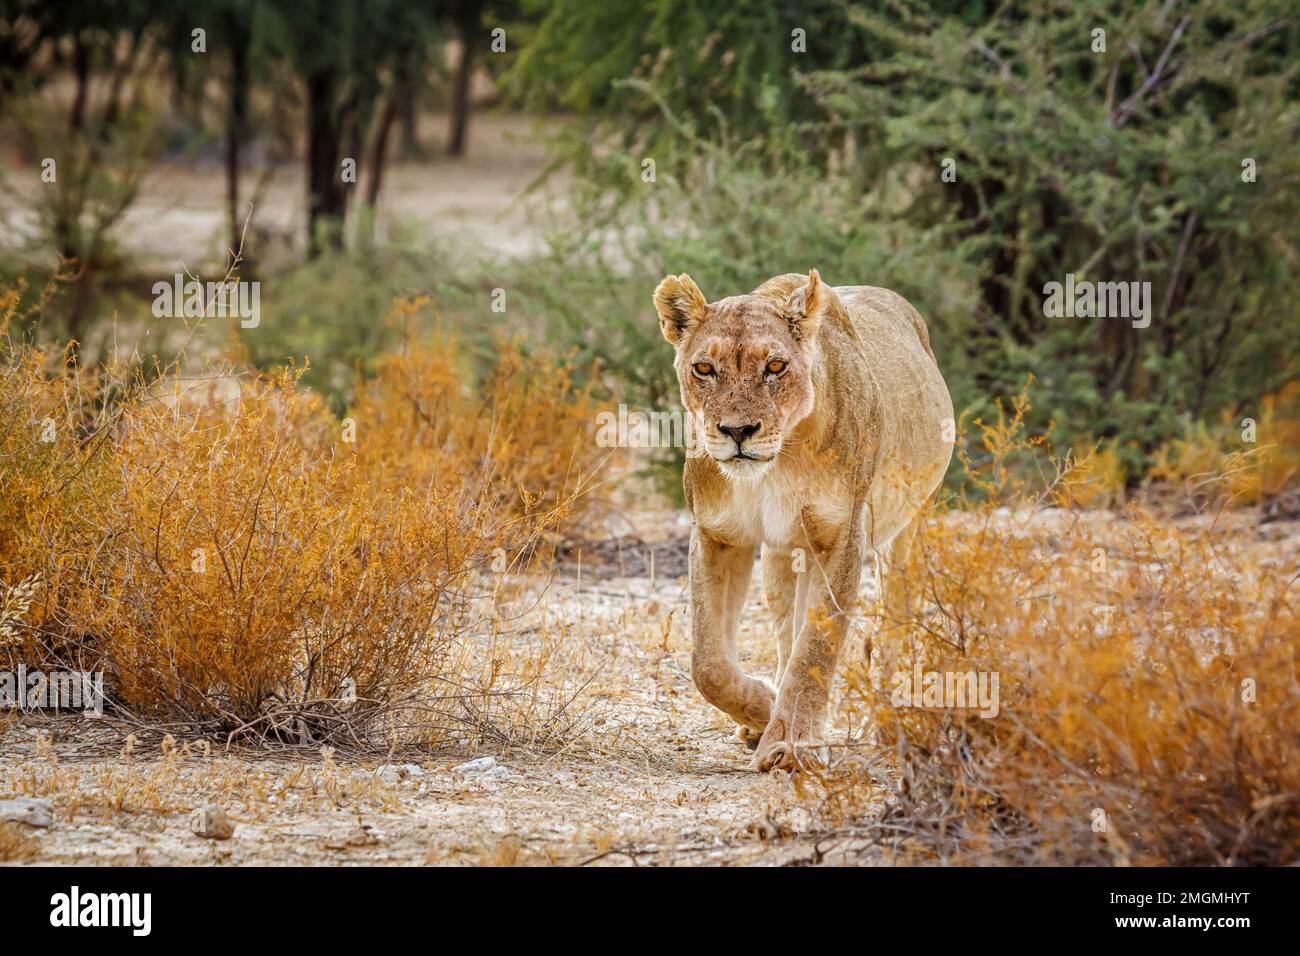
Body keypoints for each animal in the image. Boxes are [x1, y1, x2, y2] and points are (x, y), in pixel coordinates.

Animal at [653, 269, 954, 772]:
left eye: (775, 367)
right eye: (704, 369)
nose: (737, 431)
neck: (775, 465)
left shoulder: (841, 536)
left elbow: (816, 645)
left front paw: (791, 744)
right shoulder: (718, 534)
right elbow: (709, 664)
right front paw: (763, 708)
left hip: (906, 529)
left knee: (892, 623)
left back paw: (886, 724)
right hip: (783, 552)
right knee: (782, 625)